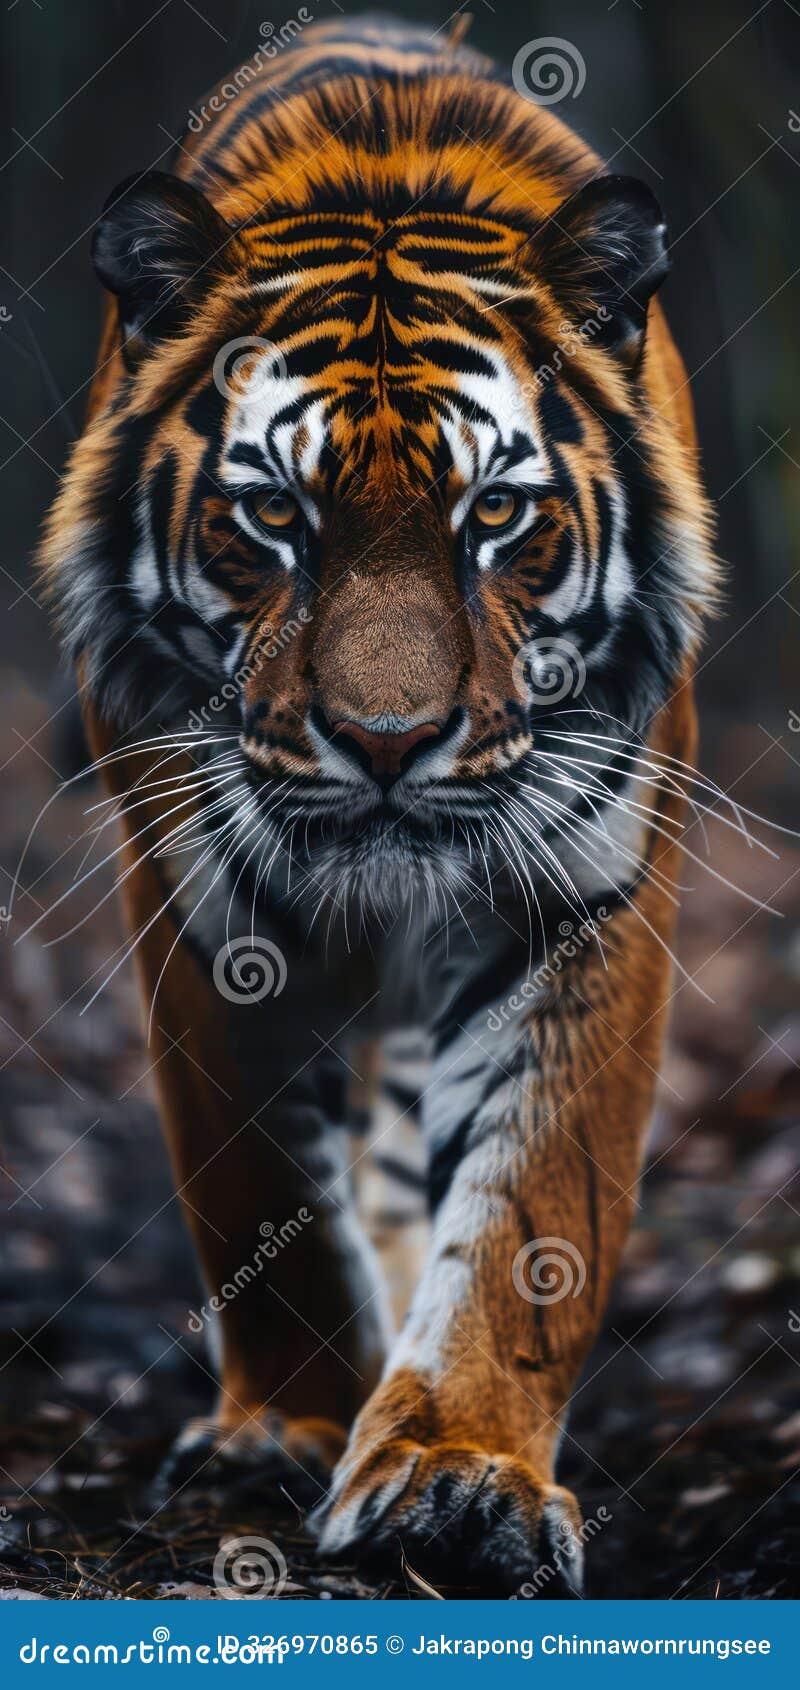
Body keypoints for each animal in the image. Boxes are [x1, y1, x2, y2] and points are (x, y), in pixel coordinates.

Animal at [38, 16, 717, 1592]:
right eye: (274, 515)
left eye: (496, 517)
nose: (388, 741)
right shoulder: (198, 891)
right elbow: (259, 1185)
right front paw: (288, 1423)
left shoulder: (584, 886)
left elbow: (535, 1199)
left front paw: (458, 1472)